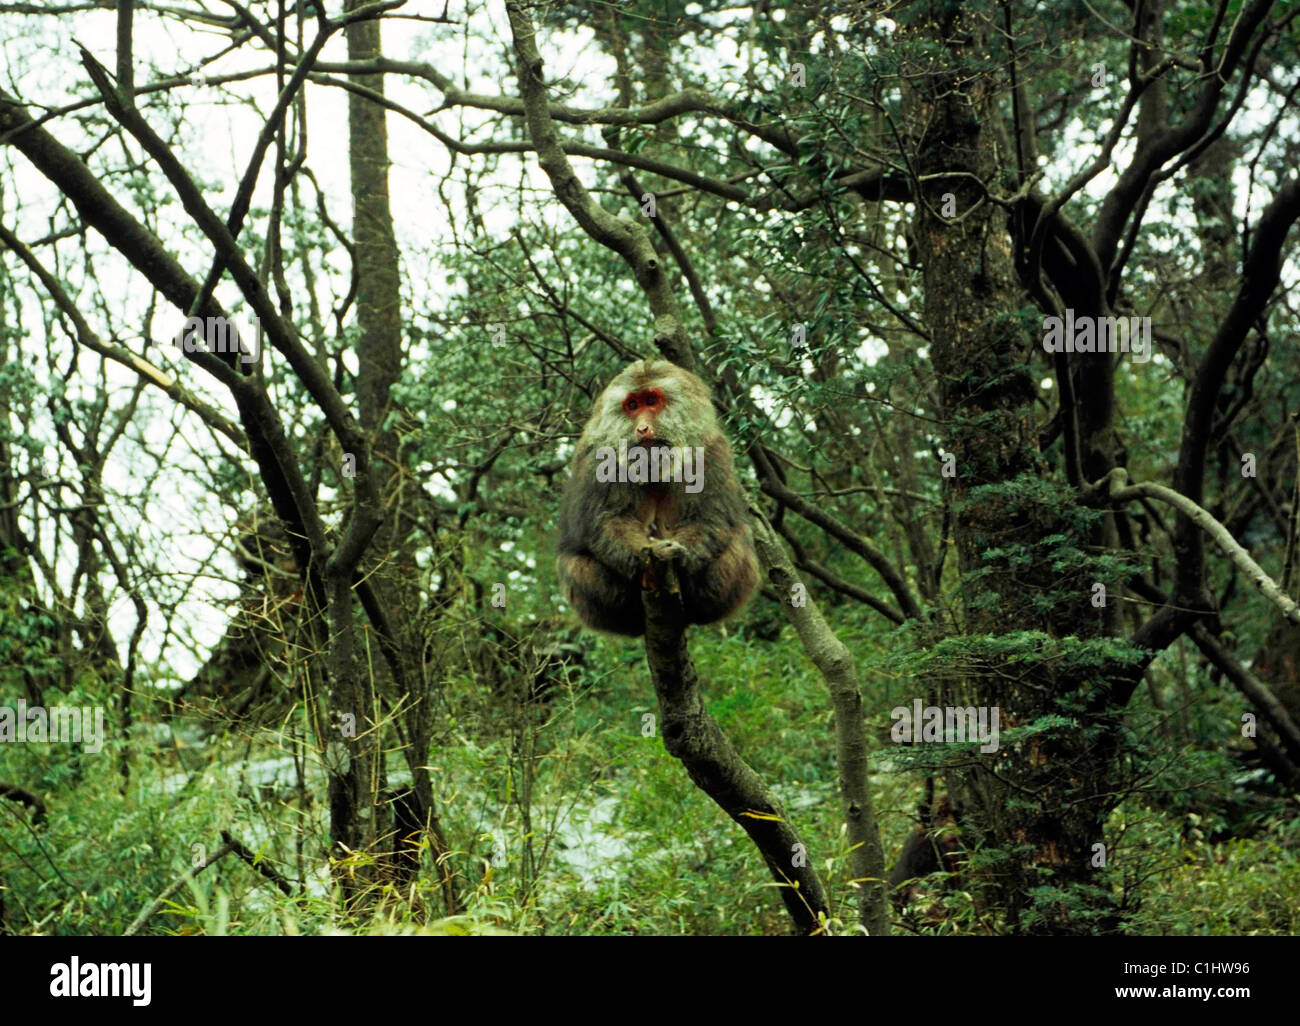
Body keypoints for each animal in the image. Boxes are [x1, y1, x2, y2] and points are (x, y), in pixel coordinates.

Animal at [556, 360, 760, 636]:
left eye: (651, 400)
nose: (642, 428)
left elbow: (709, 519)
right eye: (632, 405)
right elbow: (608, 519)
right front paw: (653, 554)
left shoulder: (712, 451)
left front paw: (680, 558)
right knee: (572, 561)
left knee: (740, 539)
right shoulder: (596, 457)